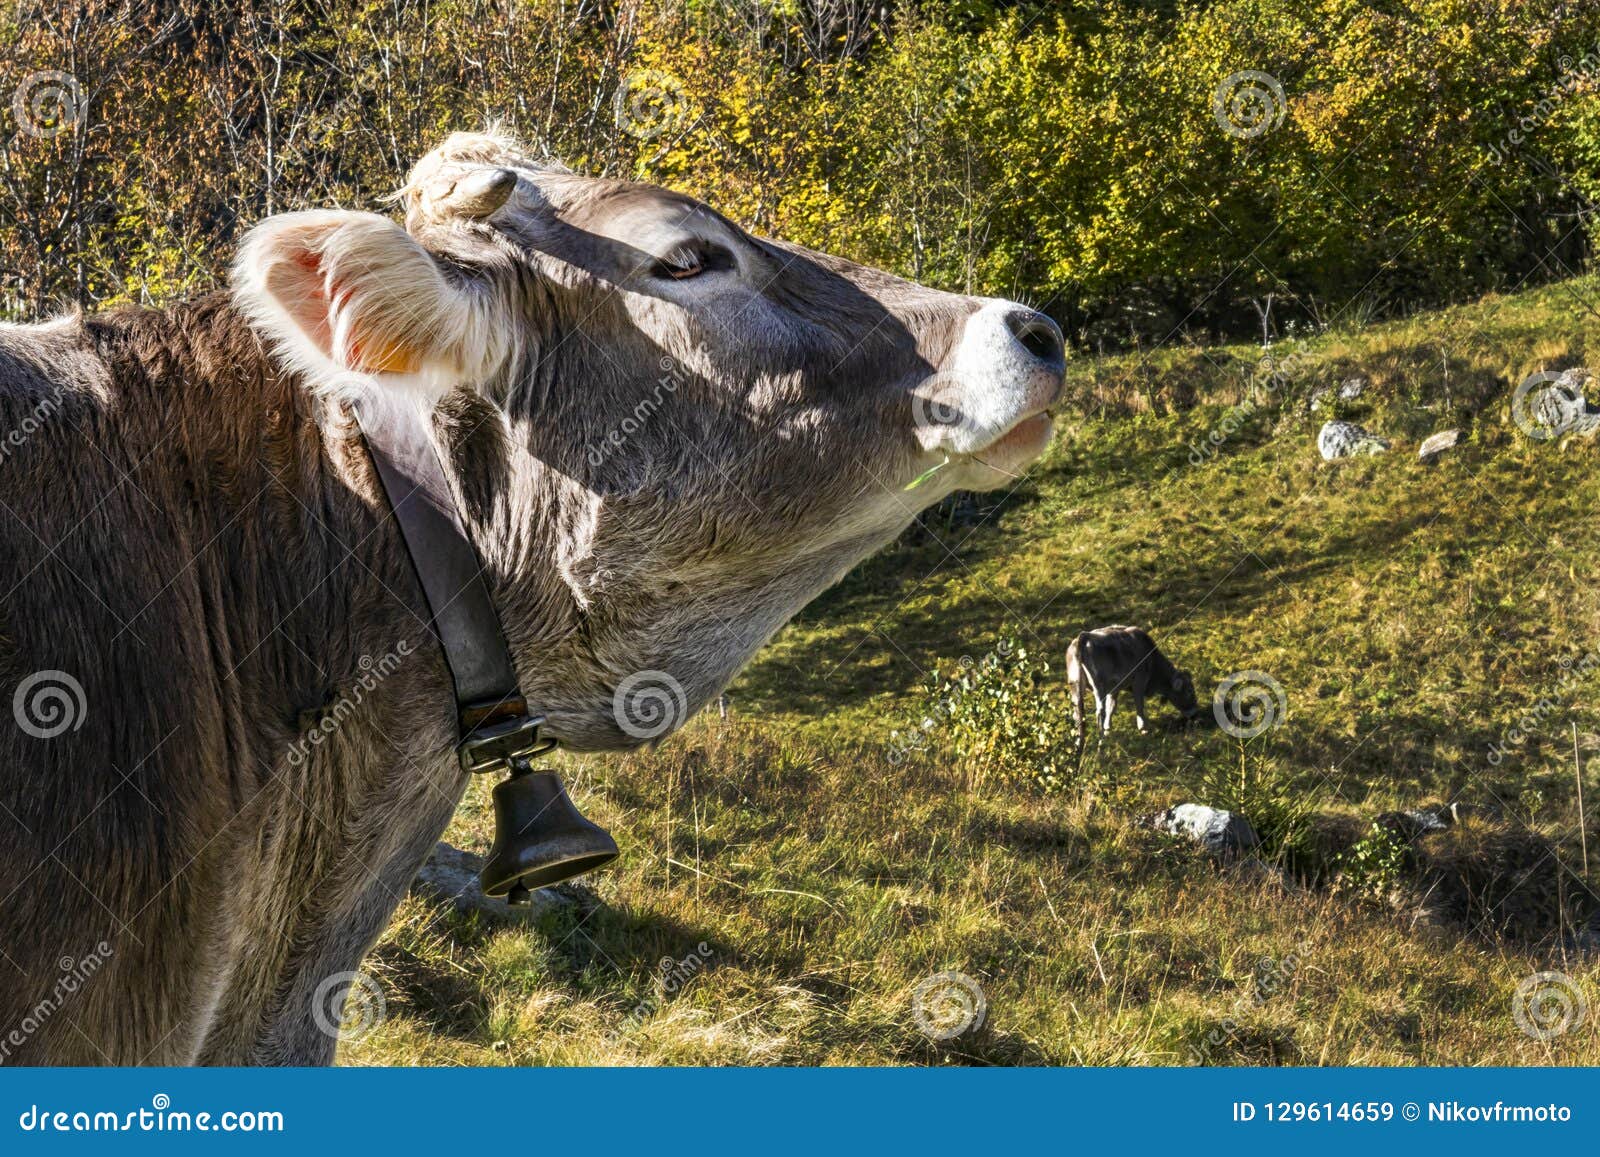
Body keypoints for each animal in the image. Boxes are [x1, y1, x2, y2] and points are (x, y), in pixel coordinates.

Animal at [1066, 626, 1200, 746]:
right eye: (1189, 690)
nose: (1194, 713)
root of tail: (1085, 636)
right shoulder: (1139, 682)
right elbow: (1139, 705)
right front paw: (1144, 729)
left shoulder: (1114, 689)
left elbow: (1112, 707)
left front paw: (1108, 730)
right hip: (1099, 687)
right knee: (1100, 712)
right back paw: (1101, 742)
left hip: (1075, 686)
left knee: (1077, 714)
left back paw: (1079, 743)